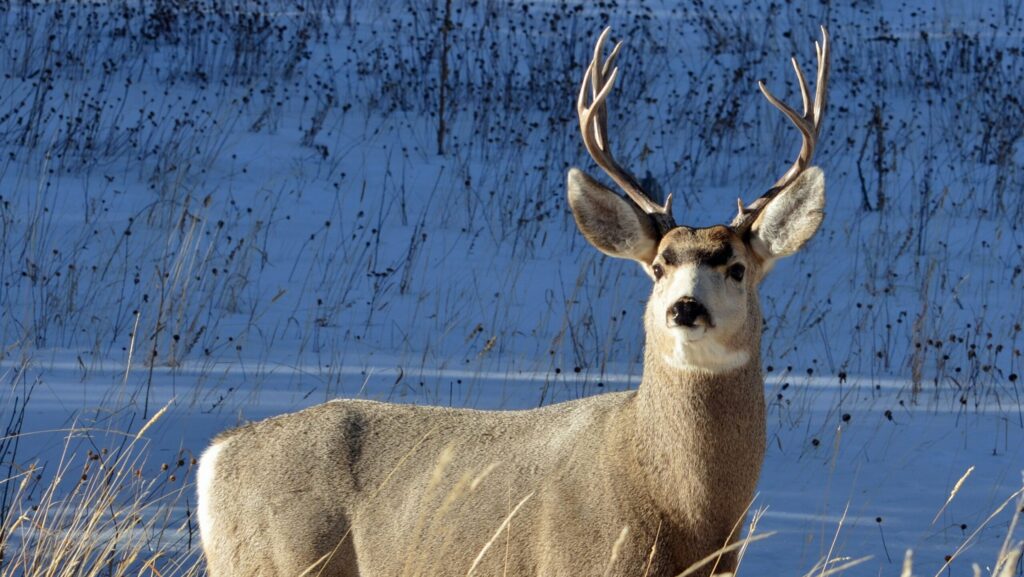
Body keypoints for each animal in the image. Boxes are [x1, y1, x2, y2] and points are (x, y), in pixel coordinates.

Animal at [197, 26, 830, 577]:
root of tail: (216, 455)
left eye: (737, 268)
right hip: (276, 559)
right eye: (658, 268)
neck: (684, 517)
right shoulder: (577, 563)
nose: (685, 309)